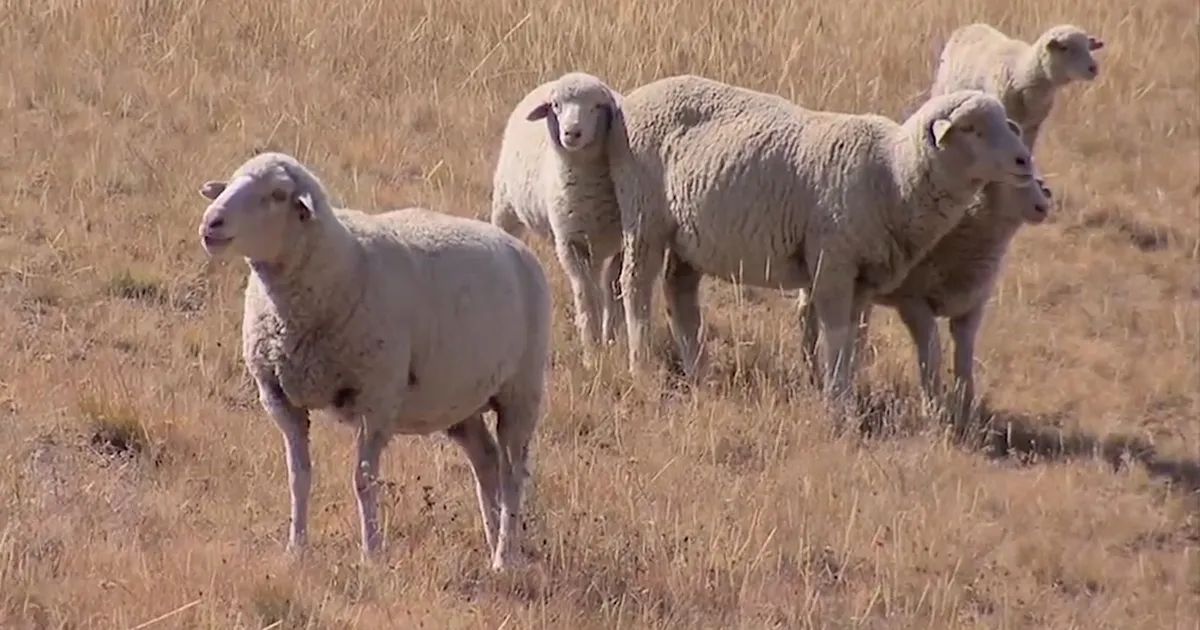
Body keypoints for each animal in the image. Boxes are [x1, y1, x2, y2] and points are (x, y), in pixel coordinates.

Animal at [196, 151, 551, 570]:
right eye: (231, 182)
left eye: (278, 194)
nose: (211, 223)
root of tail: (516, 246)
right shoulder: (279, 396)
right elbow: (299, 476)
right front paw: (296, 547)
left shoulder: (376, 399)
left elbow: (364, 481)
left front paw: (372, 553)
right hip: (462, 403)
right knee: (487, 462)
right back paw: (493, 537)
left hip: (521, 390)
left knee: (513, 473)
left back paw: (503, 557)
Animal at [490, 72, 626, 361]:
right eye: (556, 106)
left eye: (596, 106)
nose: (571, 133)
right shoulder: (570, 242)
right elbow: (586, 295)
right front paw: (592, 351)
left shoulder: (622, 242)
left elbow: (613, 290)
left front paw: (610, 341)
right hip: (506, 205)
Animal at [605, 74, 1034, 411]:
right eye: (973, 129)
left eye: (1006, 124)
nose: (1024, 162)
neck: (894, 173)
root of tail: (631, 99)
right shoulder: (834, 264)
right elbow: (835, 331)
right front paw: (837, 398)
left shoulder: (864, 275)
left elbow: (856, 336)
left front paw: (844, 391)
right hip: (644, 214)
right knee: (635, 286)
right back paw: (641, 366)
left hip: (688, 236)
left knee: (679, 294)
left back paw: (698, 371)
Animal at [798, 171, 1054, 421]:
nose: (1043, 207)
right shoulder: (912, 301)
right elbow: (932, 351)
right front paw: (932, 407)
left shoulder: (971, 307)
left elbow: (964, 357)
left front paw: (966, 408)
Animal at [930, 23, 1105, 151]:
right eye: (1064, 48)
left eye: (1088, 47)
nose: (1093, 68)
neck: (1021, 72)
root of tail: (969, 26)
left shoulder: (1033, 126)